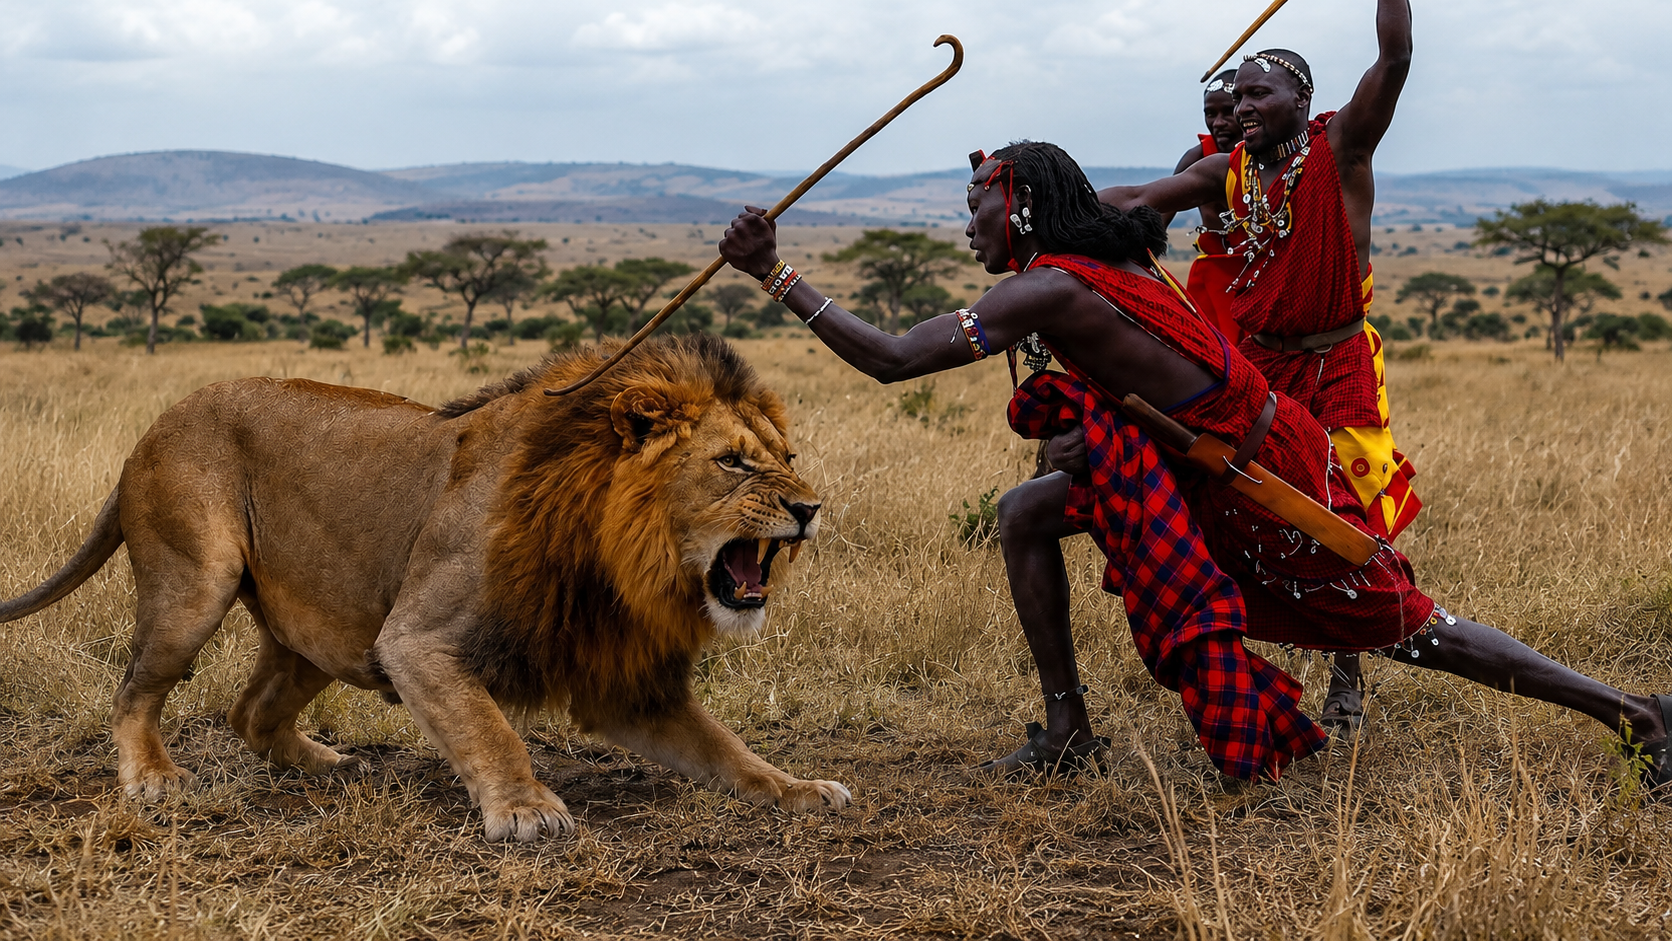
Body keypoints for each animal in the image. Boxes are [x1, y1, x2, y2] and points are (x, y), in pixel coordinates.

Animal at [0, 334, 849, 841]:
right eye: (732, 461)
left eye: (787, 455)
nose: (810, 508)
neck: (611, 551)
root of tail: (148, 432)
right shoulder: (416, 640)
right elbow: (490, 728)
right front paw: (526, 808)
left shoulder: (626, 680)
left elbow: (729, 749)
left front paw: (800, 788)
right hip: (195, 585)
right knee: (132, 690)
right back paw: (152, 777)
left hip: (326, 628)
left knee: (250, 710)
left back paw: (322, 762)